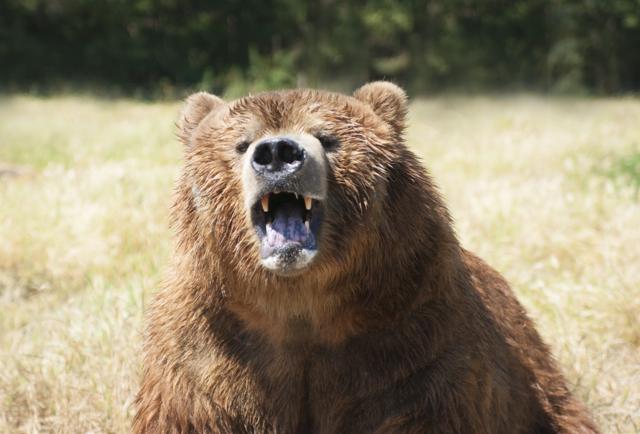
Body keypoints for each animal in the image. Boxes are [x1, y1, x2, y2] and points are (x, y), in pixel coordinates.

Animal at [133, 82, 600, 433]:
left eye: (327, 138)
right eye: (241, 143)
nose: (278, 153)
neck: (301, 302)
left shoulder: (409, 340)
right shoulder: (210, 354)